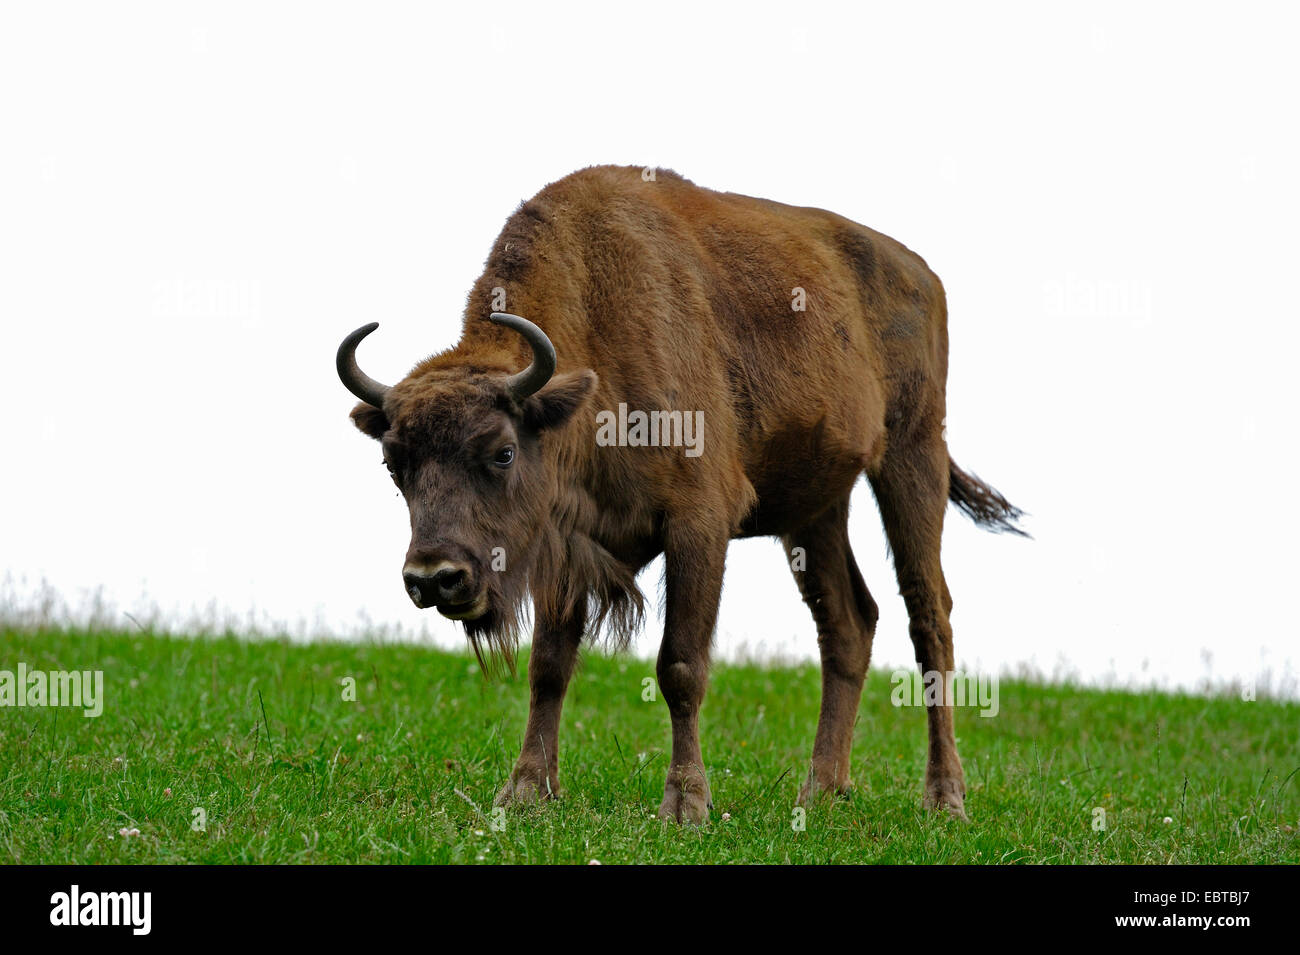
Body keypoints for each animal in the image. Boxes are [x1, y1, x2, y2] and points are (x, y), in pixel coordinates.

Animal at [337, 165, 1024, 823]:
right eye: (394, 464)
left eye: (502, 452)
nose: (434, 578)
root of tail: (922, 274)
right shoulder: (566, 546)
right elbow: (549, 667)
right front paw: (526, 792)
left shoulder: (698, 525)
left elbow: (681, 666)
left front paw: (686, 803)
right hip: (816, 510)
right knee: (848, 625)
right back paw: (821, 792)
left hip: (912, 458)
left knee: (929, 618)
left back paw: (944, 799)